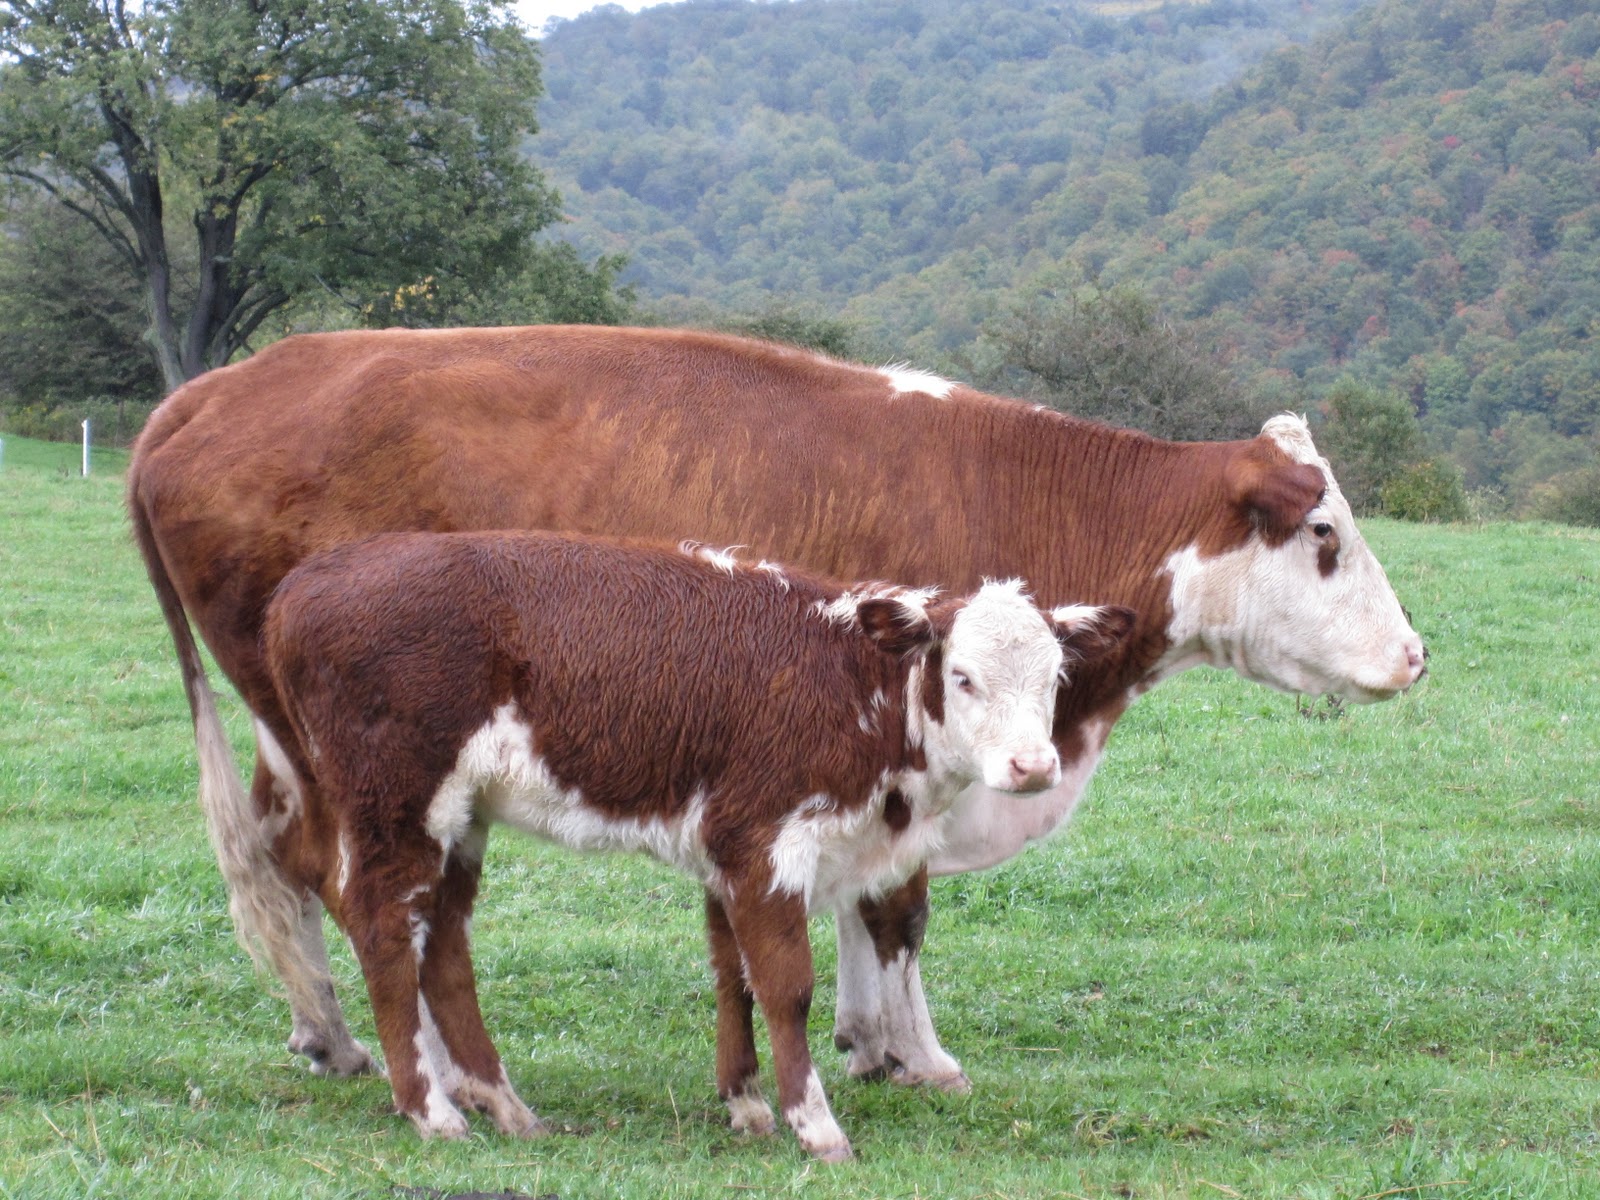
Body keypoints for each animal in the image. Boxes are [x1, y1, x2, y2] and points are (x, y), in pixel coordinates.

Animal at [260, 531, 1134, 1157]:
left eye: (1055, 679)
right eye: (962, 677)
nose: (1033, 766)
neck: (853, 684)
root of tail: (310, 578)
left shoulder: (726, 848)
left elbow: (731, 971)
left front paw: (744, 1102)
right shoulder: (766, 840)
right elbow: (785, 983)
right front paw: (814, 1125)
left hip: (460, 816)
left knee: (444, 945)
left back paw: (506, 1105)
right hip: (397, 804)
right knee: (384, 930)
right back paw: (431, 1109)